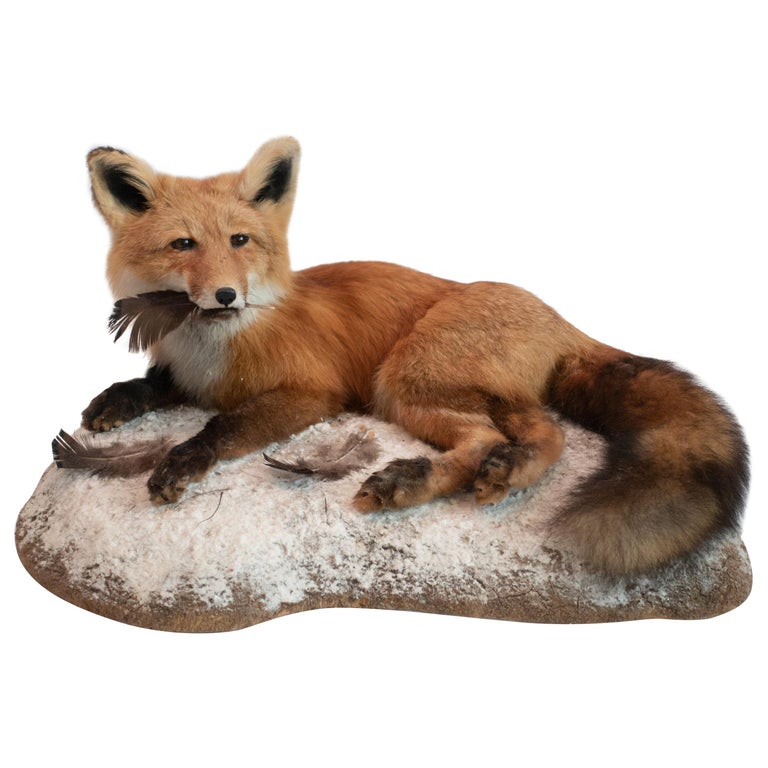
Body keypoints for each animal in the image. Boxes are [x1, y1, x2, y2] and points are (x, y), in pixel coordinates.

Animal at [58, 136, 749, 575]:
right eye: (183, 244)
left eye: (239, 241)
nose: (227, 294)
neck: (216, 344)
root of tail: (557, 316)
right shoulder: (190, 376)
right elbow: (149, 384)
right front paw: (112, 401)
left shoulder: (310, 393)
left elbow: (221, 428)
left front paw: (181, 461)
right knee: (537, 432)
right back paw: (503, 471)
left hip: (405, 378)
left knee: (498, 437)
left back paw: (416, 482)